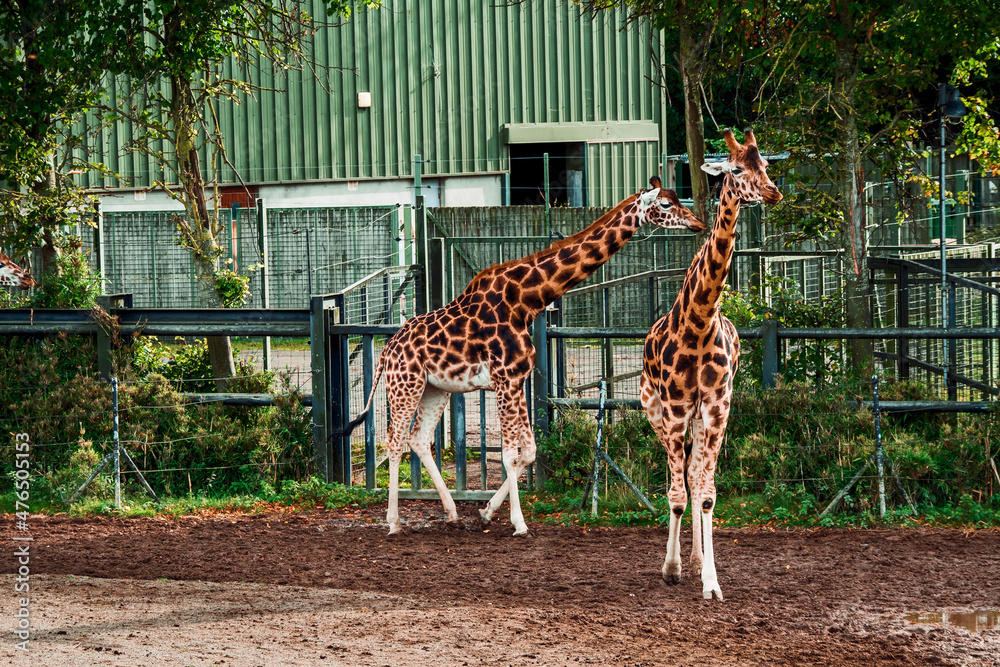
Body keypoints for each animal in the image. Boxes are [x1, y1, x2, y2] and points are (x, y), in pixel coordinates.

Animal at [339, 187, 705, 535]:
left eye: (676, 198)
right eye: (666, 204)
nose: (698, 223)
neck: (527, 301)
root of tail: (387, 350)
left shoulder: (519, 378)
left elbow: (528, 451)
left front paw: (487, 512)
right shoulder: (505, 379)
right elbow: (509, 454)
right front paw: (519, 523)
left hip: (435, 388)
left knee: (418, 439)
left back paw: (453, 514)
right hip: (405, 385)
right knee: (394, 443)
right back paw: (393, 522)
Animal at [640, 129, 782, 600]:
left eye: (766, 166)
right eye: (736, 169)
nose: (773, 193)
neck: (700, 319)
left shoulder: (719, 406)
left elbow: (705, 494)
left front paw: (711, 582)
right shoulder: (675, 409)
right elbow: (678, 495)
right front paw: (672, 569)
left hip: (702, 419)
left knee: (695, 476)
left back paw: (699, 561)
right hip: (656, 412)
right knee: (678, 479)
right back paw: (680, 563)